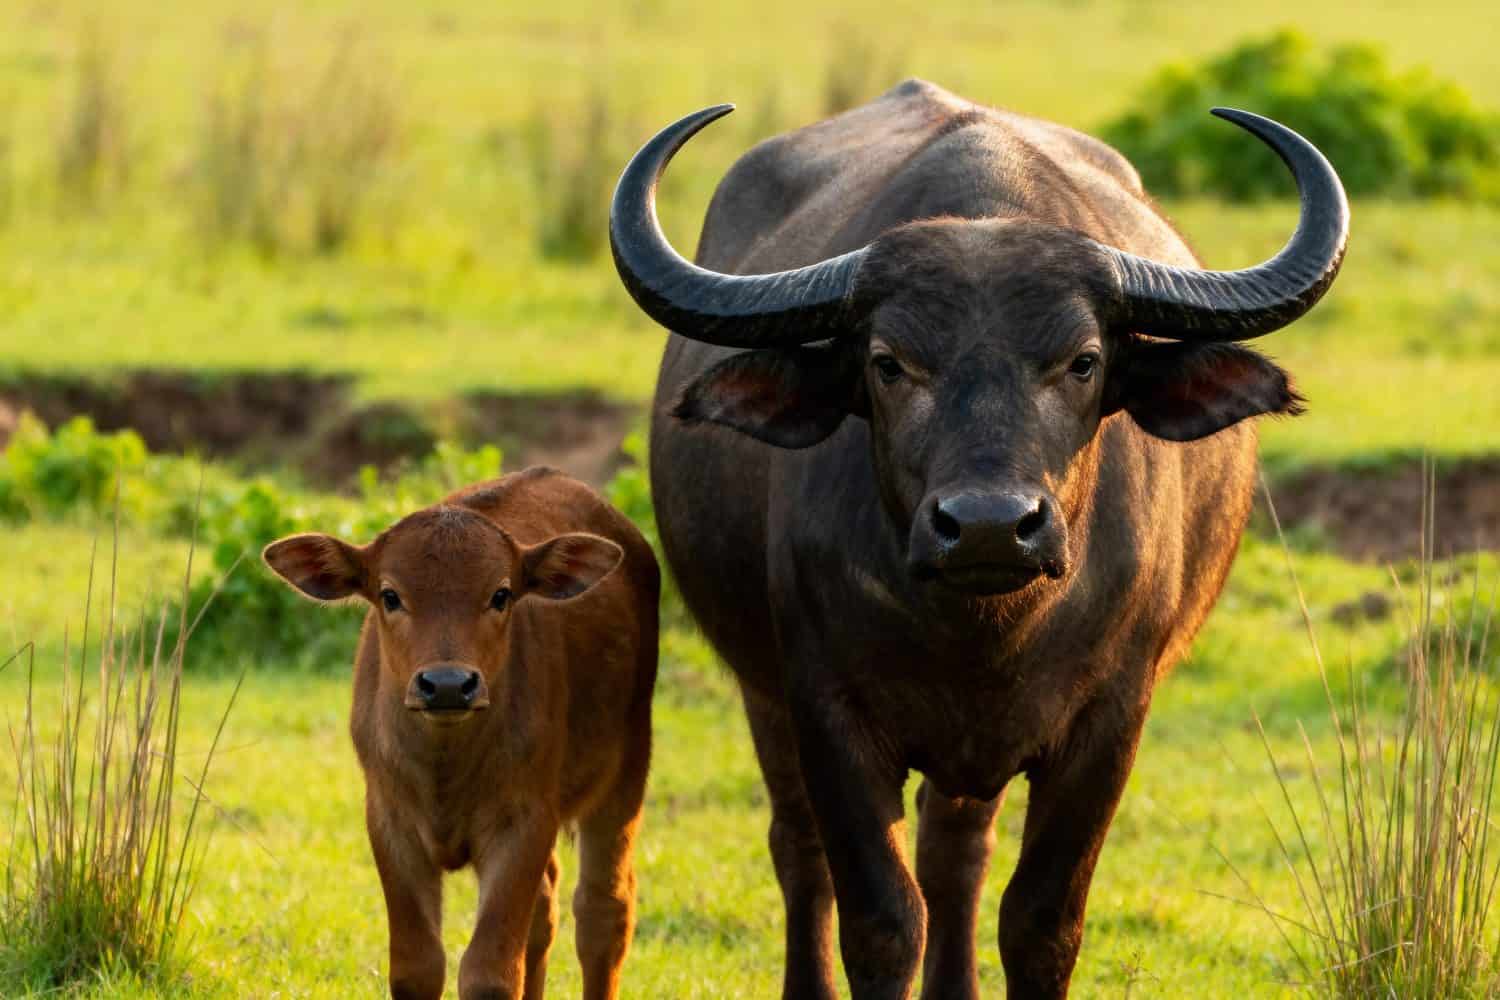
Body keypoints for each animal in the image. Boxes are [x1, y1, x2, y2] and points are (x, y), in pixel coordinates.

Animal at [262, 467, 660, 1000]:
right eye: (390, 595)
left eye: (501, 594)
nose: (448, 684)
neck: (444, 767)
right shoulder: (389, 821)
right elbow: (417, 969)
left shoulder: (526, 822)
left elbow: (490, 974)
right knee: (545, 912)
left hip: (626, 771)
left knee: (603, 912)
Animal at [608, 80, 1347, 999]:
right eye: (888, 363)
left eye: (1084, 360)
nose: (991, 525)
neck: (983, 632)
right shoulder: (825, 710)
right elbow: (883, 922)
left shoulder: (1110, 722)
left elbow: (1040, 923)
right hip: (762, 690)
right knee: (800, 847)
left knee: (955, 853)